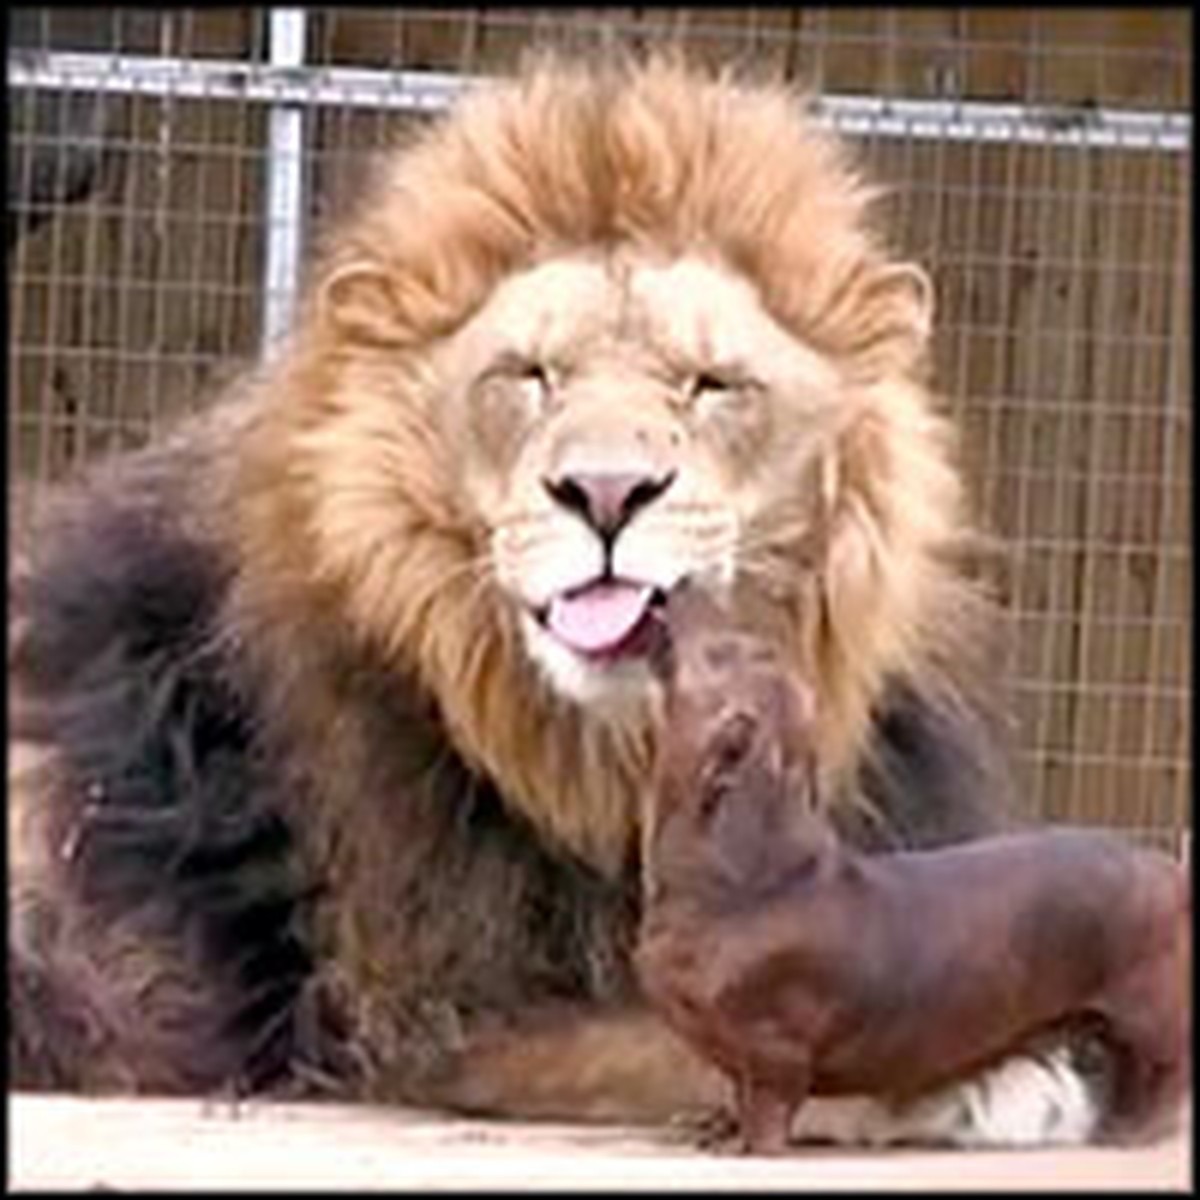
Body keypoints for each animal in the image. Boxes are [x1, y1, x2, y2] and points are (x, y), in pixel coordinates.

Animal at [10, 53, 1117, 1145]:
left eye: (710, 384)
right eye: (528, 376)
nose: (607, 492)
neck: (605, 762)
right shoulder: (421, 1013)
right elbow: (699, 1035)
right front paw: (997, 1072)